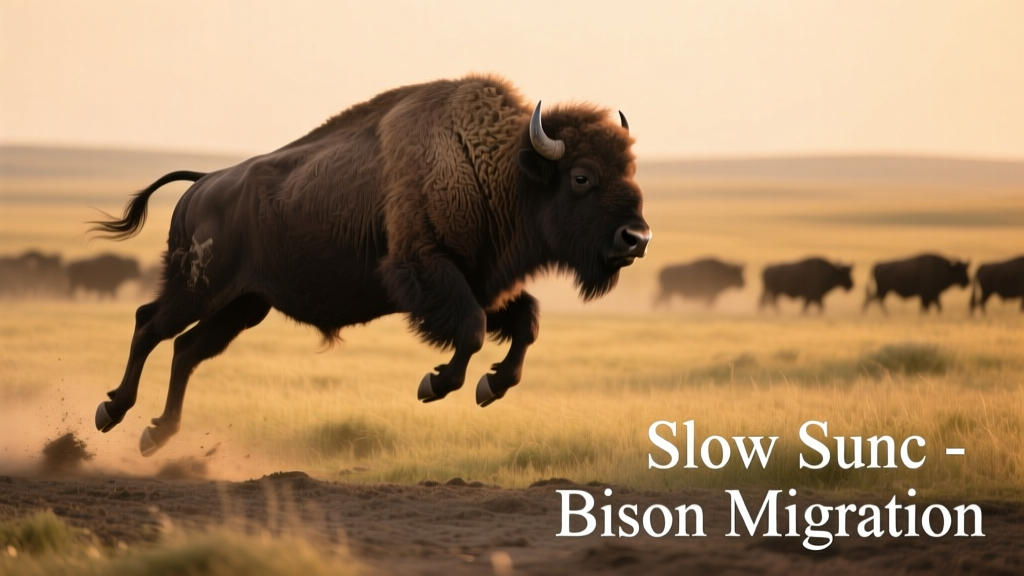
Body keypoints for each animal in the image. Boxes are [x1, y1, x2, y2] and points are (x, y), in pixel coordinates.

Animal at [90, 75, 651, 456]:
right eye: (581, 176)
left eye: (630, 168)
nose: (637, 238)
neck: (497, 169)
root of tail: (203, 185)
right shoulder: (427, 273)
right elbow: (470, 331)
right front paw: (435, 384)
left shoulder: (485, 285)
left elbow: (524, 325)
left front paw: (490, 386)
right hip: (198, 289)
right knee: (150, 326)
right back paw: (111, 411)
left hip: (244, 305)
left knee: (186, 349)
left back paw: (156, 434)